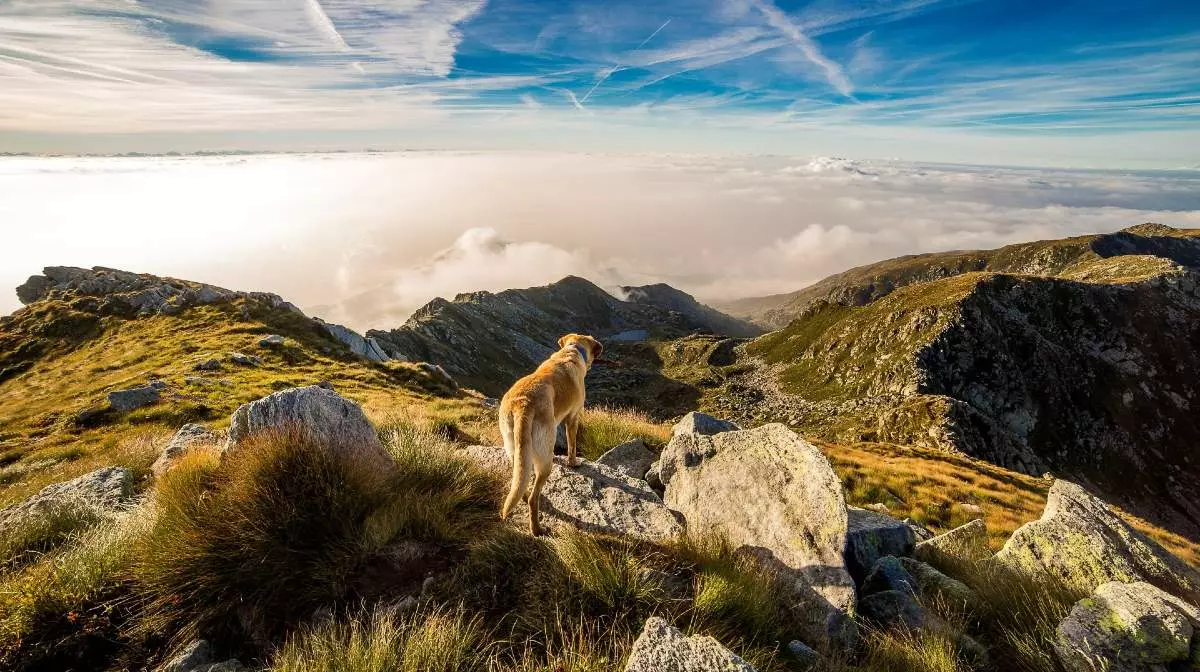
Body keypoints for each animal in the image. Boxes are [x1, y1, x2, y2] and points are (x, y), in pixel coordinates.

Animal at [499, 331, 604, 535]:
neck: (571, 350)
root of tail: (523, 404)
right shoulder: (573, 418)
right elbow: (572, 444)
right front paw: (573, 463)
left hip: (515, 448)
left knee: (520, 480)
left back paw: (522, 498)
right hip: (545, 459)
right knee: (534, 498)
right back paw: (537, 529)